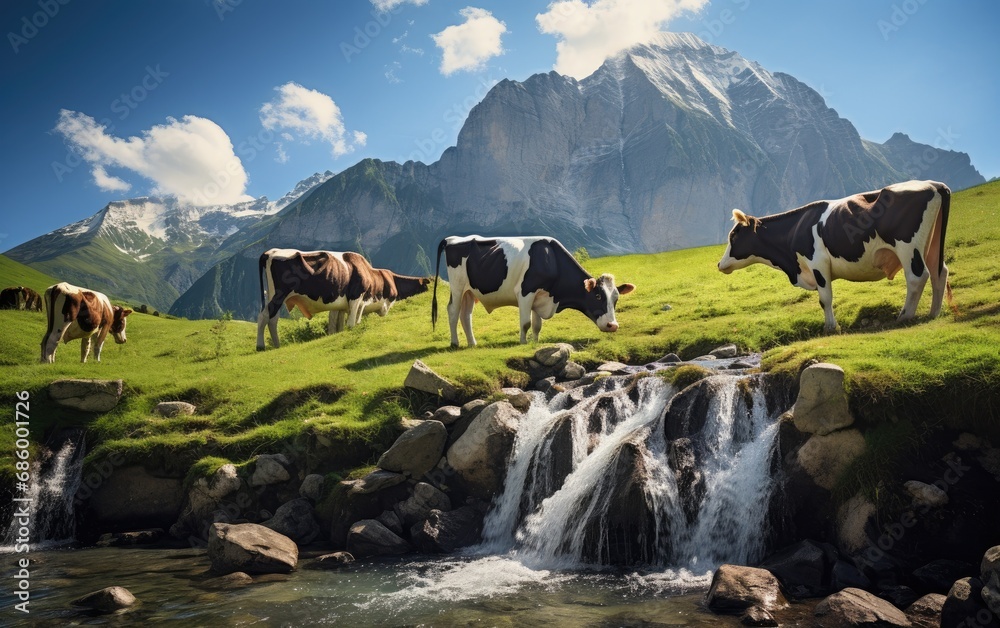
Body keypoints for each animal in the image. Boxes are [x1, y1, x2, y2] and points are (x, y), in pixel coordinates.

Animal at [256, 248, 430, 350]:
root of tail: (271, 252)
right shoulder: (356, 298)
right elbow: (351, 324)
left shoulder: (343, 305)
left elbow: (337, 326)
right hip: (279, 293)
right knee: (264, 316)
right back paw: (260, 346)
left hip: (272, 294)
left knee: (273, 319)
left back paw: (277, 346)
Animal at [431, 235, 635, 347]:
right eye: (598, 295)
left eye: (616, 299)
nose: (613, 325)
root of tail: (453, 239)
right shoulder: (525, 292)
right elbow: (526, 323)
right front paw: (523, 343)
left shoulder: (541, 297)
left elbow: (537, 325)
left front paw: (535, 342)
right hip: (457, 286)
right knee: (453, 311)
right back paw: (455, 343)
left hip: (470, 291)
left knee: (465, 315)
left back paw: (472, 344)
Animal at [717, 180, 952, 333]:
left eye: (733, 235)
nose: (719, 263)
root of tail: (934, 184)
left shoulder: (818, 263)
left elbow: (825, 298)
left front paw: (831, 327)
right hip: (932, 244)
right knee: (939, 272)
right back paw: (933, 313)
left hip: (908, 246)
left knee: (917, 276)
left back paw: (905, 316)